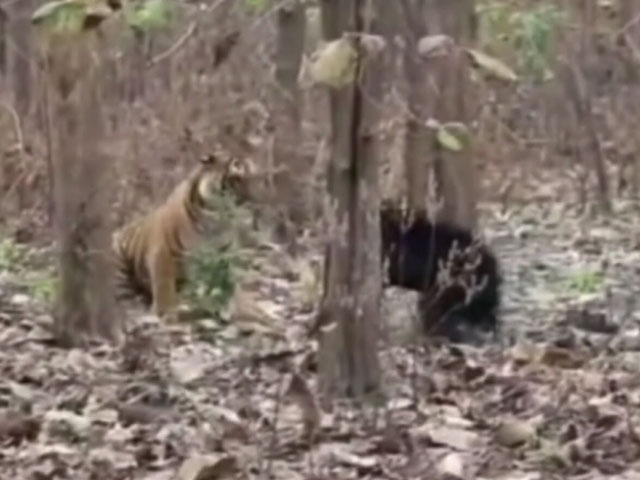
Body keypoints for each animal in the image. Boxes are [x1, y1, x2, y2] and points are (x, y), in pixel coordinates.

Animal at [111, 151, 251, 321]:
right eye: (235, 178)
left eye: (248, 177)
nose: (250, 200)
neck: (213, 221)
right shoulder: (163, 253)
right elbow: (164, 285)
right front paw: (165, 312)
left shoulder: (225, 254)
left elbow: (227, 282)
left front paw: (227, 308)